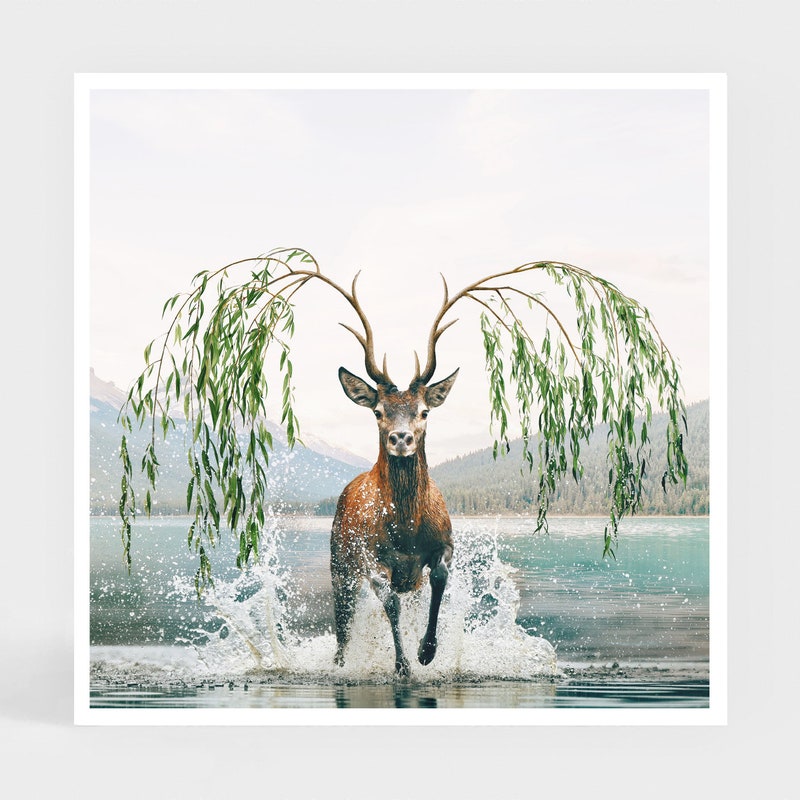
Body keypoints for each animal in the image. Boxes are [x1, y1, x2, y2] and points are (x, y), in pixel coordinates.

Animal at [329, 284, 459, 678]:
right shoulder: (373, 559)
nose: (401, 438)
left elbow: (439, 578)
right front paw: (402, 664)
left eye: (424, 411)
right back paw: (339, 663)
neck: (406, 529)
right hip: (340, 564)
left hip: (404, 579)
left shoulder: (444, 544)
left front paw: (427, 650)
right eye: (377, 411)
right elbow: (389, 605)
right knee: (342, 623)